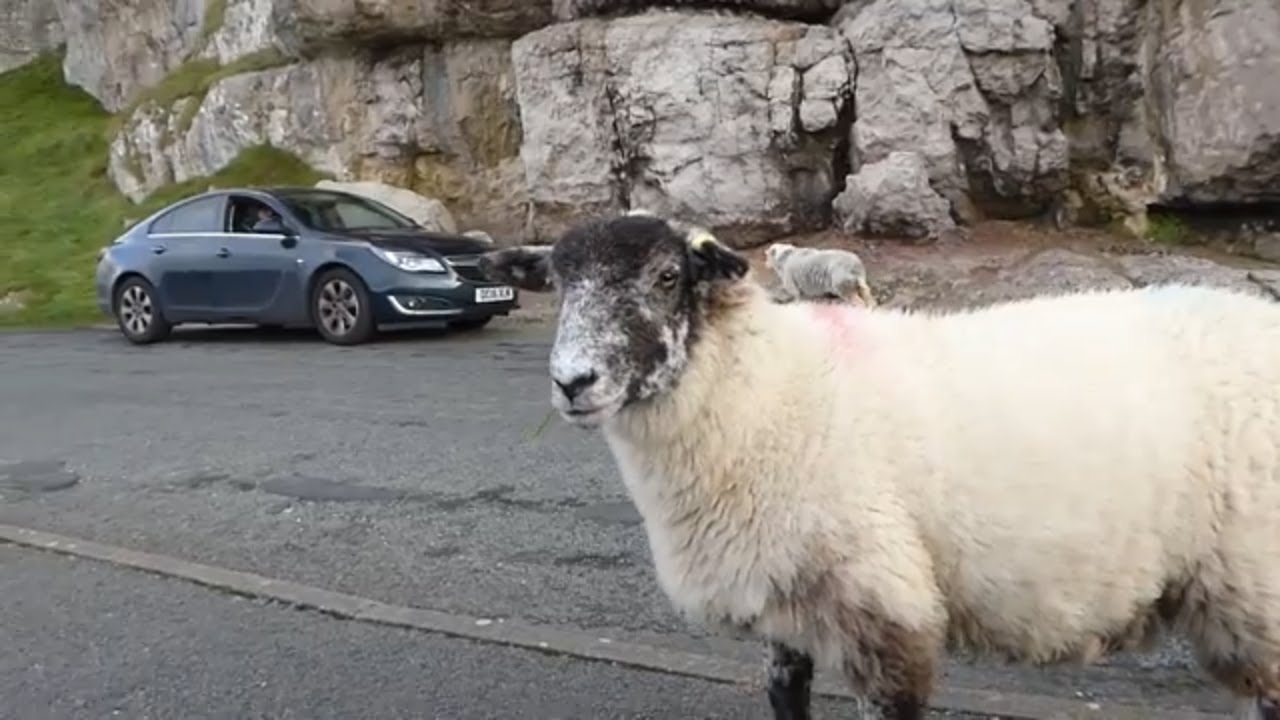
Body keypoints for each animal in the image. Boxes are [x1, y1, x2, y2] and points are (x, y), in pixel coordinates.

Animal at [477, 212, 1280, 720]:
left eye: (669, 276)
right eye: (560, 282)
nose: (573, 382)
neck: (768, 391)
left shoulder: (884, 606)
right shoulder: (786, 596)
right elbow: (786, 698)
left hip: (1256, 585)